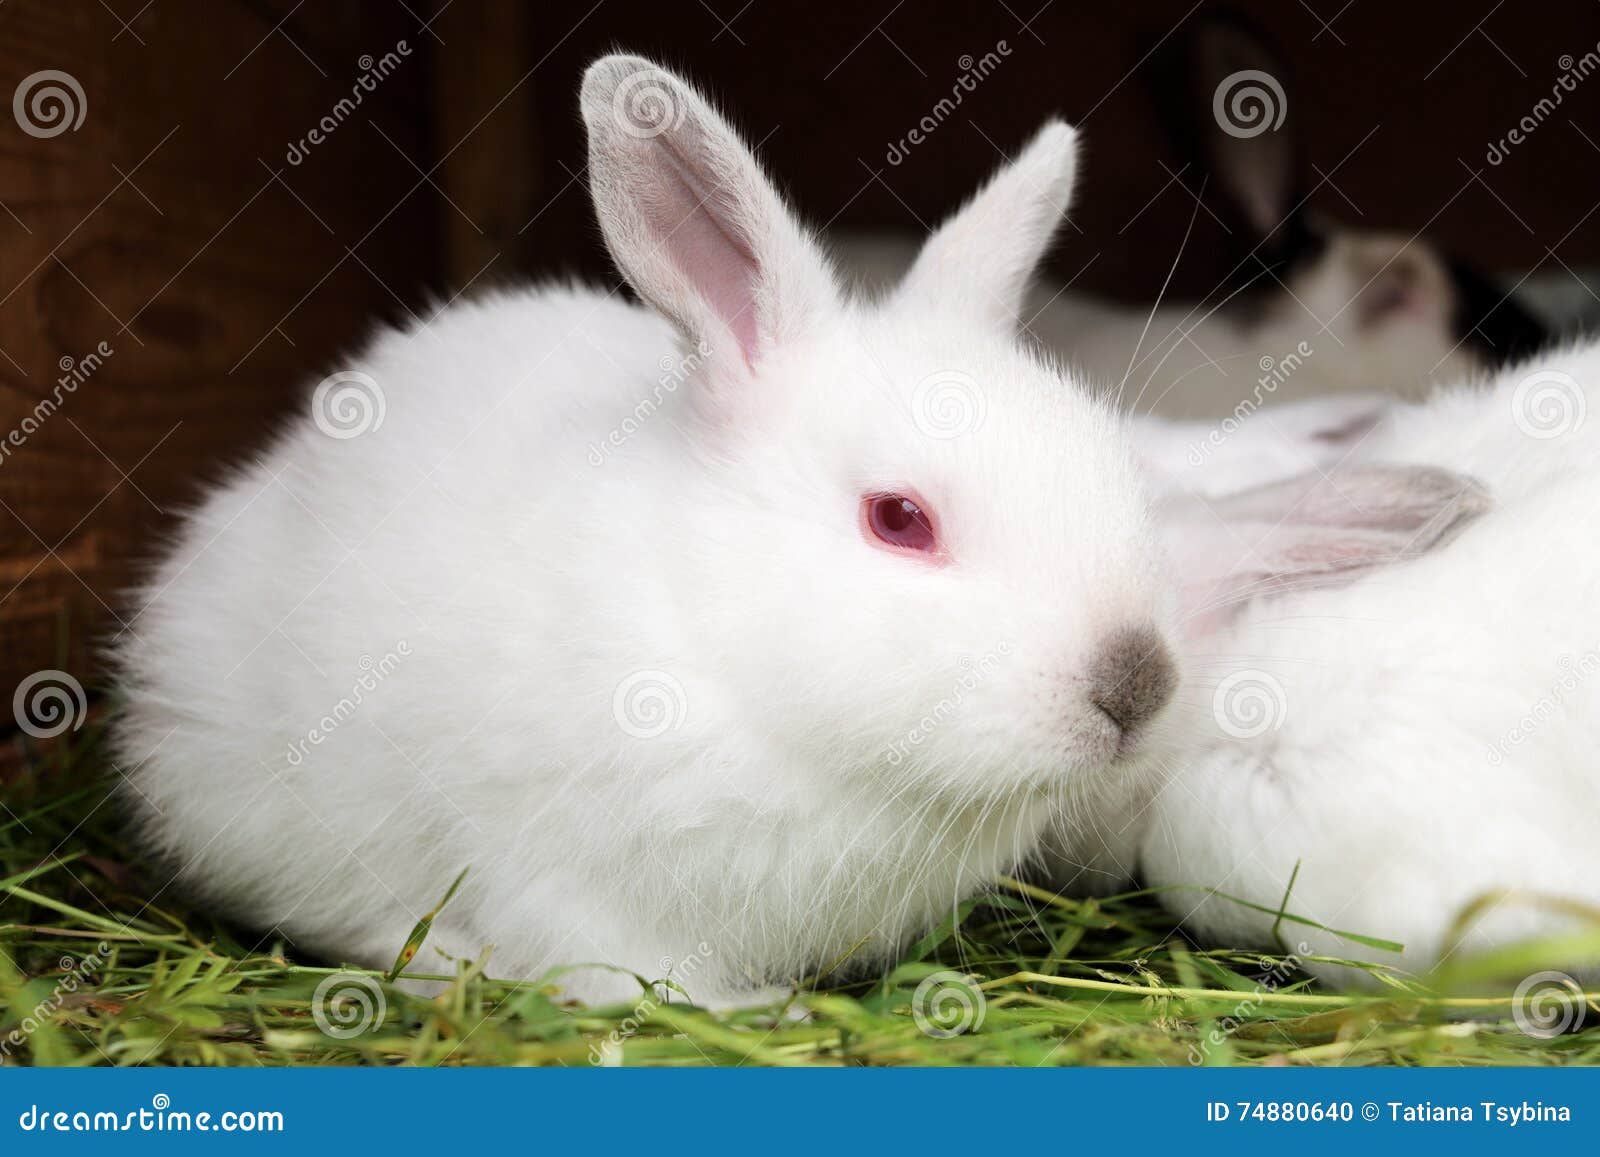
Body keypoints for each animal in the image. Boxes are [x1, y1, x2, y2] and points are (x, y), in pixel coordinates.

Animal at [112, 54, 1187, 1007]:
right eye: (899, 519)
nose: (1137, 685)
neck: (724, 654)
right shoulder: (553, 867)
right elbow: (615, 967)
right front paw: (751, 1012)